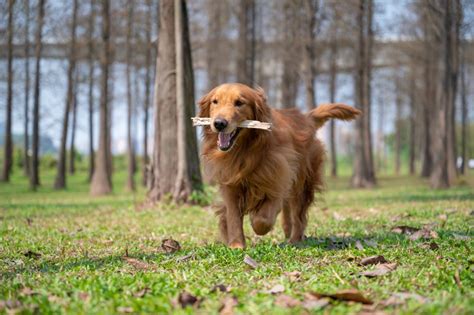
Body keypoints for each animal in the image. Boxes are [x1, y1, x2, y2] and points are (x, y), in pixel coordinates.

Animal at [198, 83, 362, 249]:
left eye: (239, 103)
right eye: (215, 101)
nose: (219, 123)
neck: (245, 151)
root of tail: (305, 118)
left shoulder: (276, 183)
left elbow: (262, 220)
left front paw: (254, 222)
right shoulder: (231, 186)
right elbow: (233, 217)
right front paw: (236, 245)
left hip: (302, 183)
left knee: (299, 216)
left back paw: (295, 239)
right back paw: (288, 231)